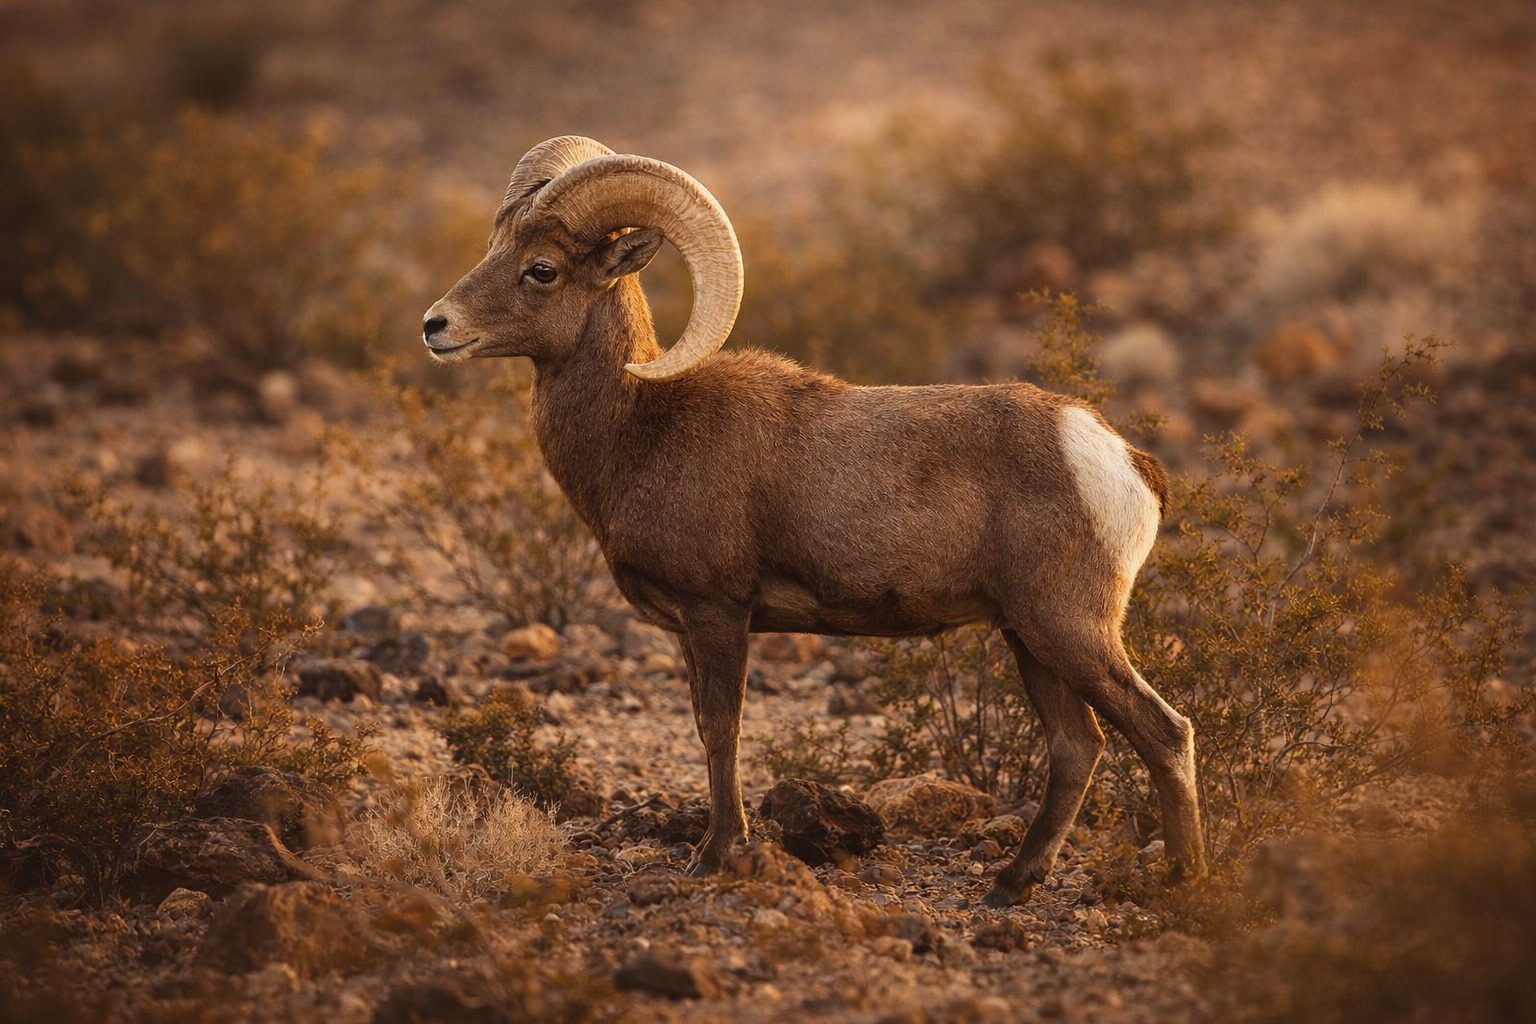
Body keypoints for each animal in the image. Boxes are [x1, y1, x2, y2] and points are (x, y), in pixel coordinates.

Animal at [422, 136, 1205, 906]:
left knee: (1164, 733)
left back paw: (1183, 881)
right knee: (1078, 747)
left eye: (542, 270)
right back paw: (1010, 885)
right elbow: (706, 729)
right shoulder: (689, 630)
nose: (436, 326)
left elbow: (721, 730)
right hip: (1030, 639)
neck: (643, 425)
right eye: (495, 248)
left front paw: (715, 856)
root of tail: (1120, 458)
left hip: (1068, 629)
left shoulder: (718, 613)